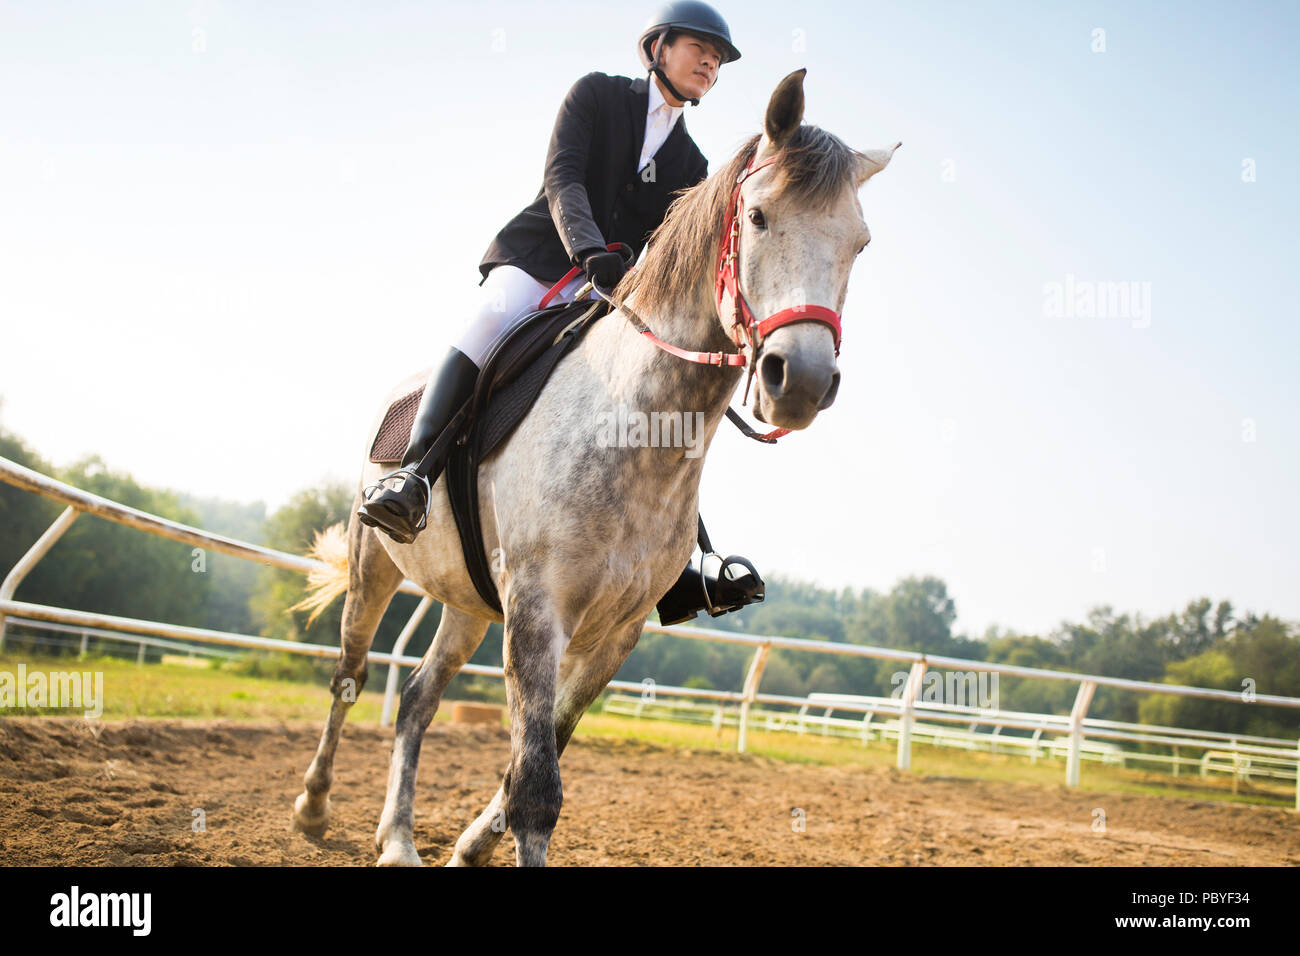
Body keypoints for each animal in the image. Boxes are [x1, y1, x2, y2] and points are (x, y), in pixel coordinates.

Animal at [289, 68, 897, 866]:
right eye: (760, 217)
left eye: (859, 244)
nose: (800, 381)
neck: (637, 428)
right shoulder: (538, 611)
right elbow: (536, 787)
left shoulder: (616, 632)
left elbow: (543, 752)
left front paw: (473, 845)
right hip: (375, 564)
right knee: (350, 676)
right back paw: (313, 808)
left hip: (469, 602)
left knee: (417, 698)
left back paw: (397, 839)